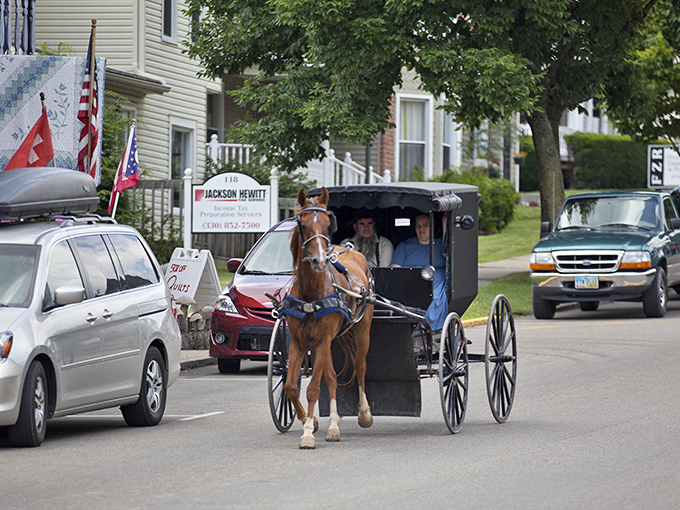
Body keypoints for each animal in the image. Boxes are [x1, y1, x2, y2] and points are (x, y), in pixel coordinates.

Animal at [283, 187, 374, 449]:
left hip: (362, 329)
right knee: (332, 377)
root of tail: (353, 251)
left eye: (326, 223)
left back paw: (364, 414)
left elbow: (313, 388)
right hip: (327, 342)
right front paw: (309, 420)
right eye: (302, 224)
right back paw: (333, 425)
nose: (320, 260)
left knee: (360, 366)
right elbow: (291, 386)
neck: (311, 294)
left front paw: (307, 433)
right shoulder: (299, 342)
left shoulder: (322, 340)